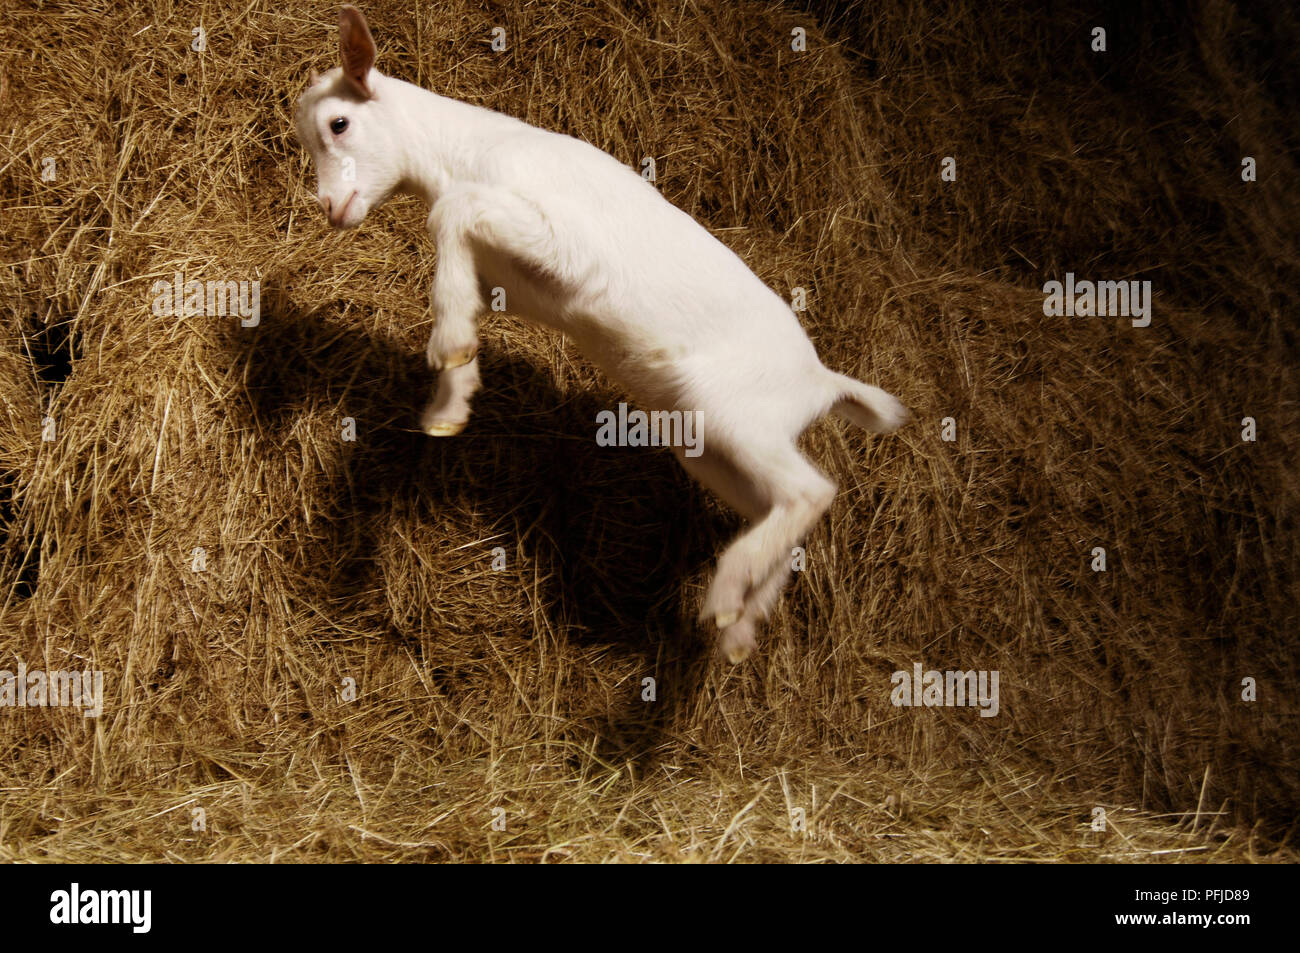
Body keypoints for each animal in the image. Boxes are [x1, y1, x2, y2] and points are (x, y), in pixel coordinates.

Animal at [294, 6, 908, 663]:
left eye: (338, 123)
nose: (330, 207)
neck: (467, 152)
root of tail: (822, 380)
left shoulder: (567, 249)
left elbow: (451, 211)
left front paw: (449, 347)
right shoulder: (505, 277)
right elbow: (457, 267)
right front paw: (449, 401)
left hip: (738, 415)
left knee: (810, 492)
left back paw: (727, 593)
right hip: (708, 443)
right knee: (779, 513)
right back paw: (741, 627)